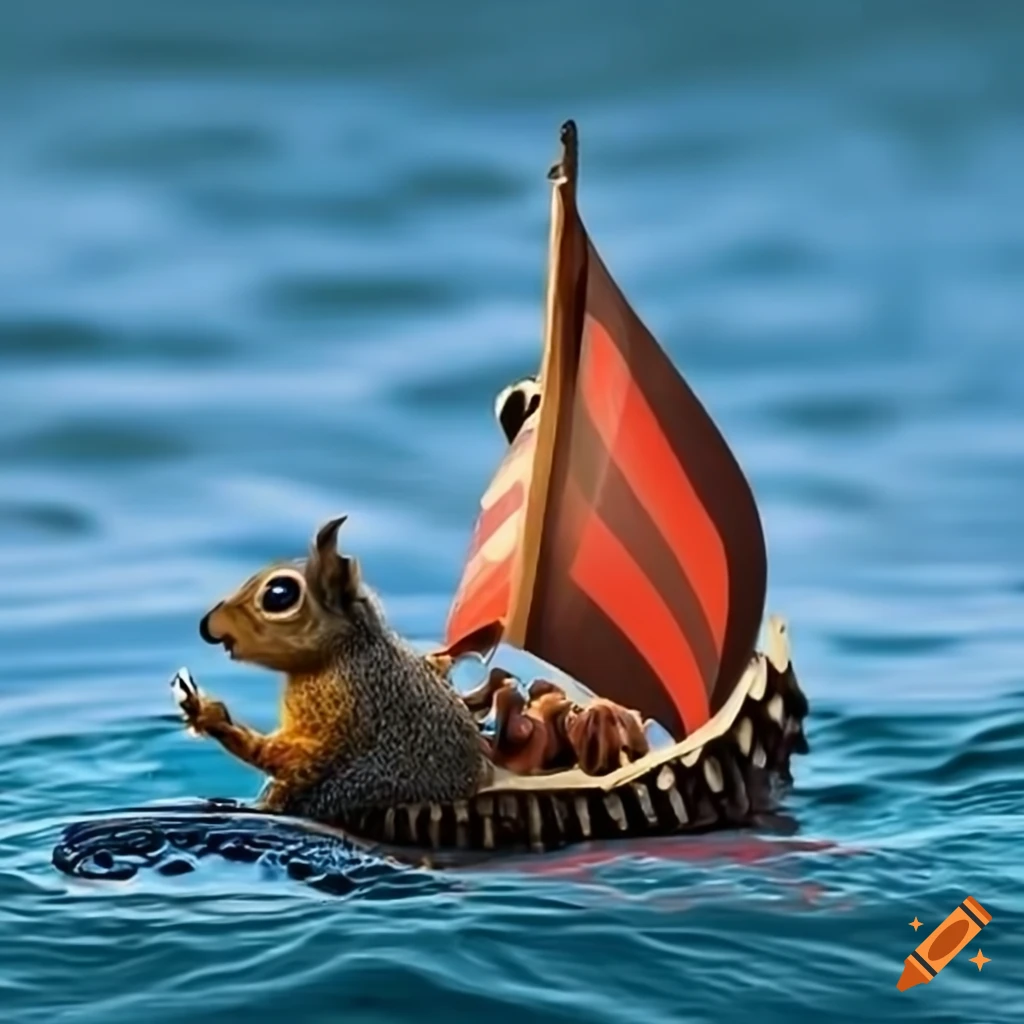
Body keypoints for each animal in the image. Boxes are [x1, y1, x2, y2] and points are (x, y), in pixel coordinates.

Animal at [177, 515, 492, 822]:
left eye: (279, 593)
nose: (207, 626)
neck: (349, 652)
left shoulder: (336, 707)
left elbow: (293, 757)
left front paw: (209, 714)